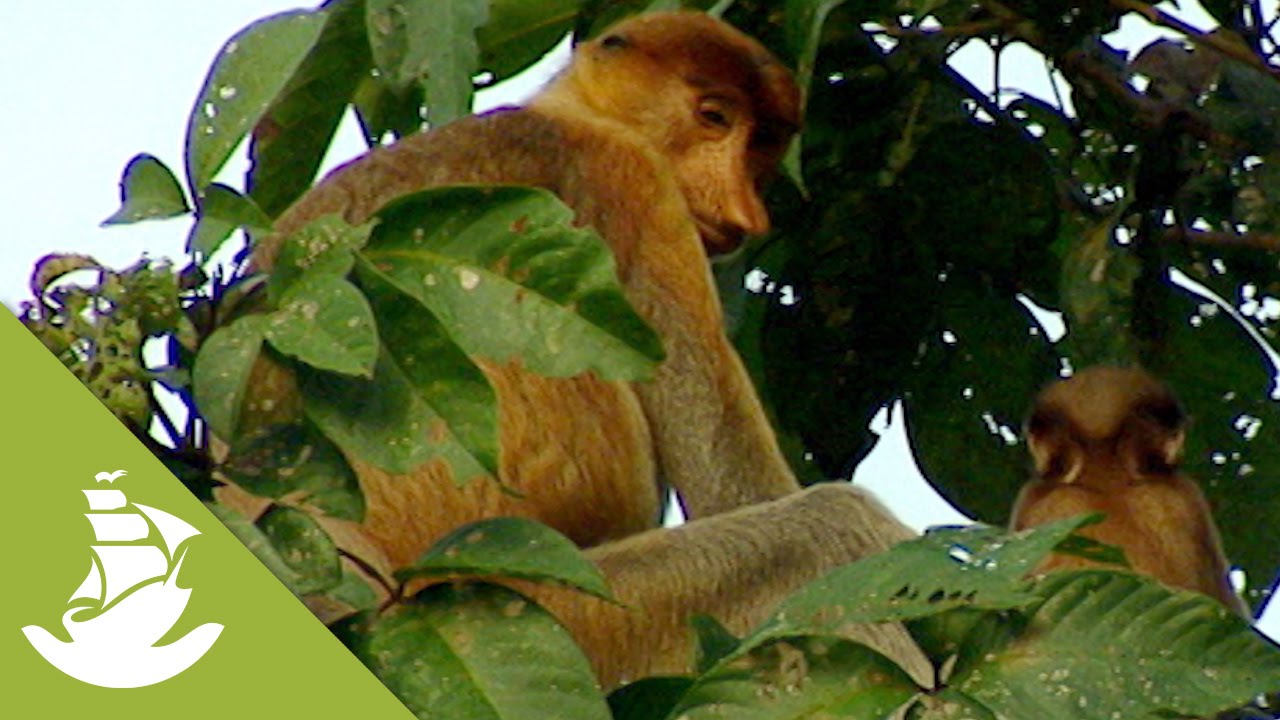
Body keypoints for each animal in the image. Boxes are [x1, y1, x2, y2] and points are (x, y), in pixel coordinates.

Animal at [229, 11, 931, 687]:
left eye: (764, 145)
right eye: (714, 117)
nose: (746, 212)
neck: (568, 115)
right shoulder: (633, 181)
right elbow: (732, 480)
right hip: (546, 618)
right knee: (821, 538)